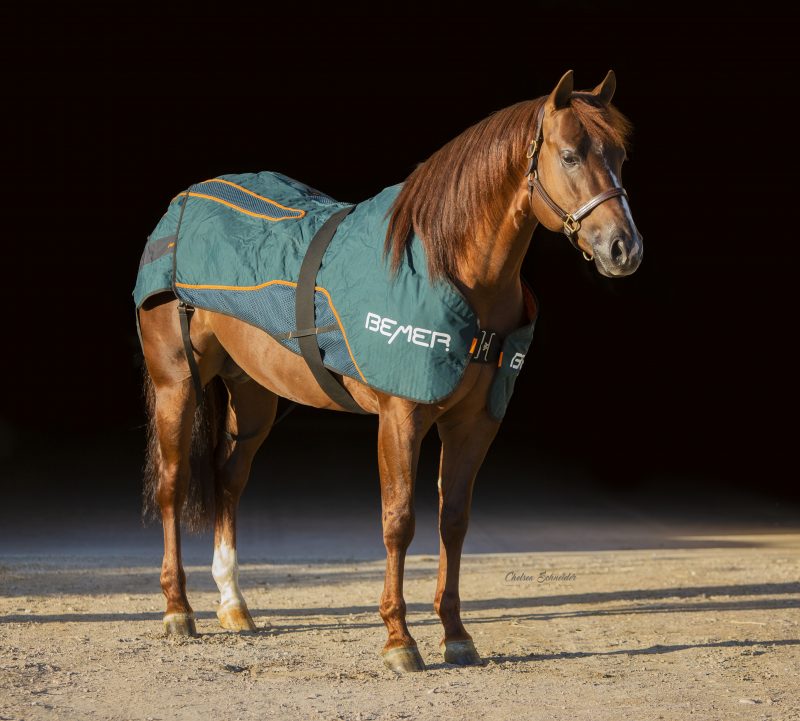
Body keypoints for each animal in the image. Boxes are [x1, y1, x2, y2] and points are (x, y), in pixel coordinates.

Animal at [135, 69, 643, 673]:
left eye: (620, 155)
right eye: (568, 156)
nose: (624, 248)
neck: (451, 269)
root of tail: (183, 202)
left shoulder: (474, 424)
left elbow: (454, 522)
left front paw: (456, 634)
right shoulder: (400, 417)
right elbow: (399, 522)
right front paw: (400, 640)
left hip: (252, 395)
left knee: (229, 477)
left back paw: (234, 605)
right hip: (176, 383)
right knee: (173, 484)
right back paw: (178, 611)